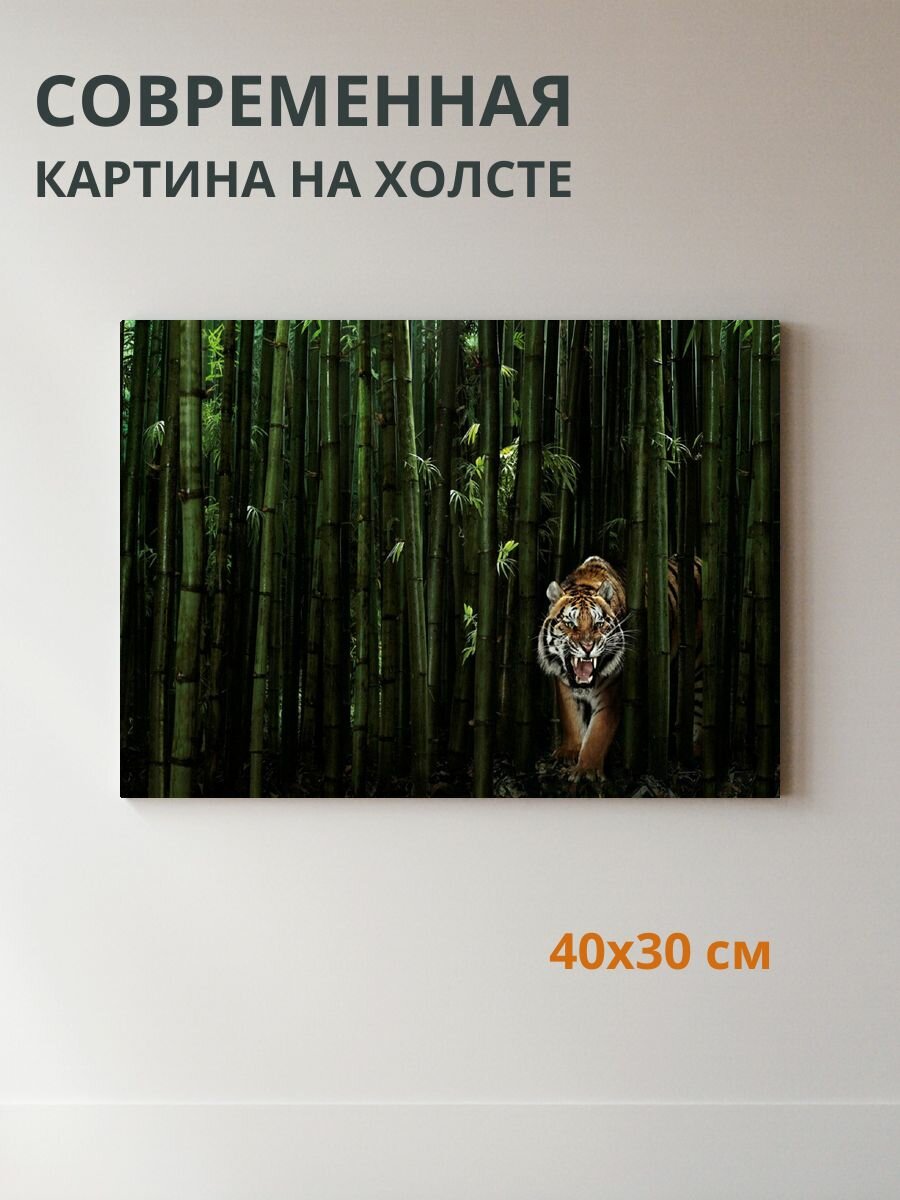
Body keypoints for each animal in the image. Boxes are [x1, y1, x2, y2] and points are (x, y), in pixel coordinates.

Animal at [537, 554, 701, 777]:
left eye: (598, 624)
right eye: (570, 624)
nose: (587, 647)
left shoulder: (611, 691)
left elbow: (598, 733)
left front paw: (586, 771)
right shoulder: (564, 685)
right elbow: (571, 719)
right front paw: (569, 753)